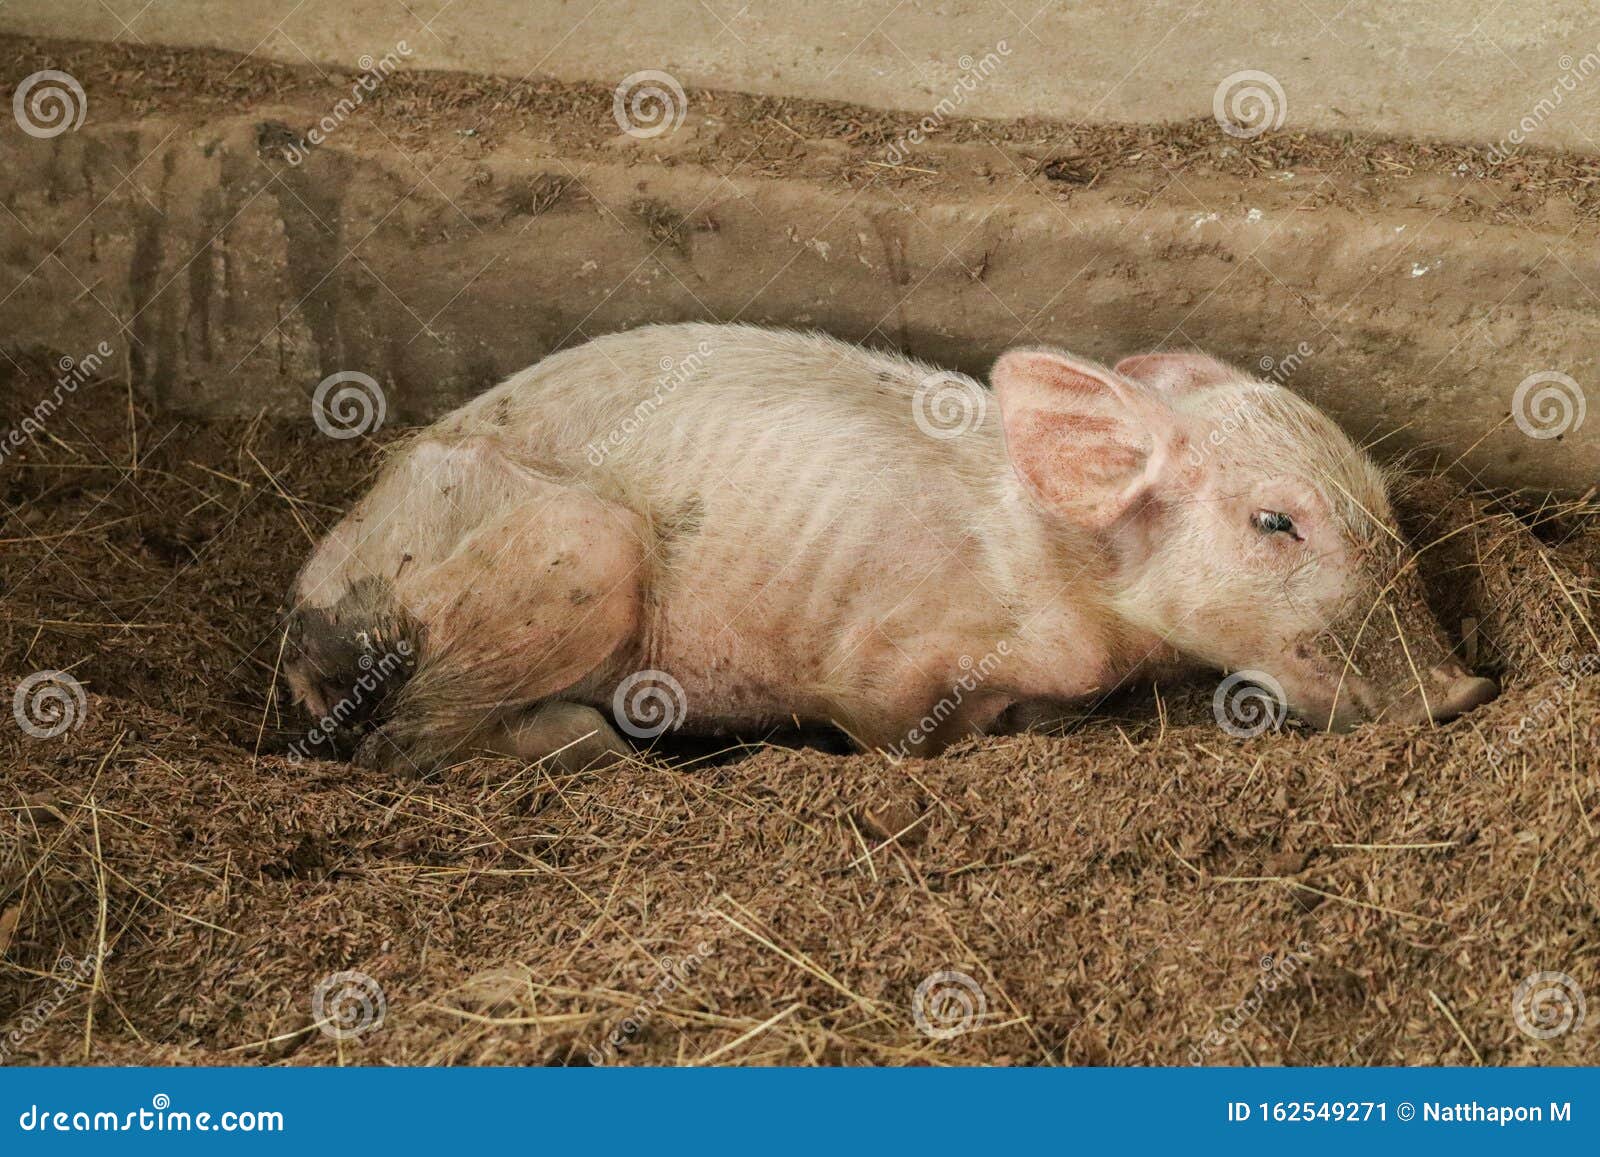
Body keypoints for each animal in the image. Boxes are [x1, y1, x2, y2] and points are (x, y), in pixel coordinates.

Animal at [283, 323, 1498, 773]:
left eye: (1385, 506)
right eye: (1274, 521)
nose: (1462, 690)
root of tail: (307, 605)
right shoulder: (881, 661)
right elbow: (893, 729)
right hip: (576, 549)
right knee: (411, 740)